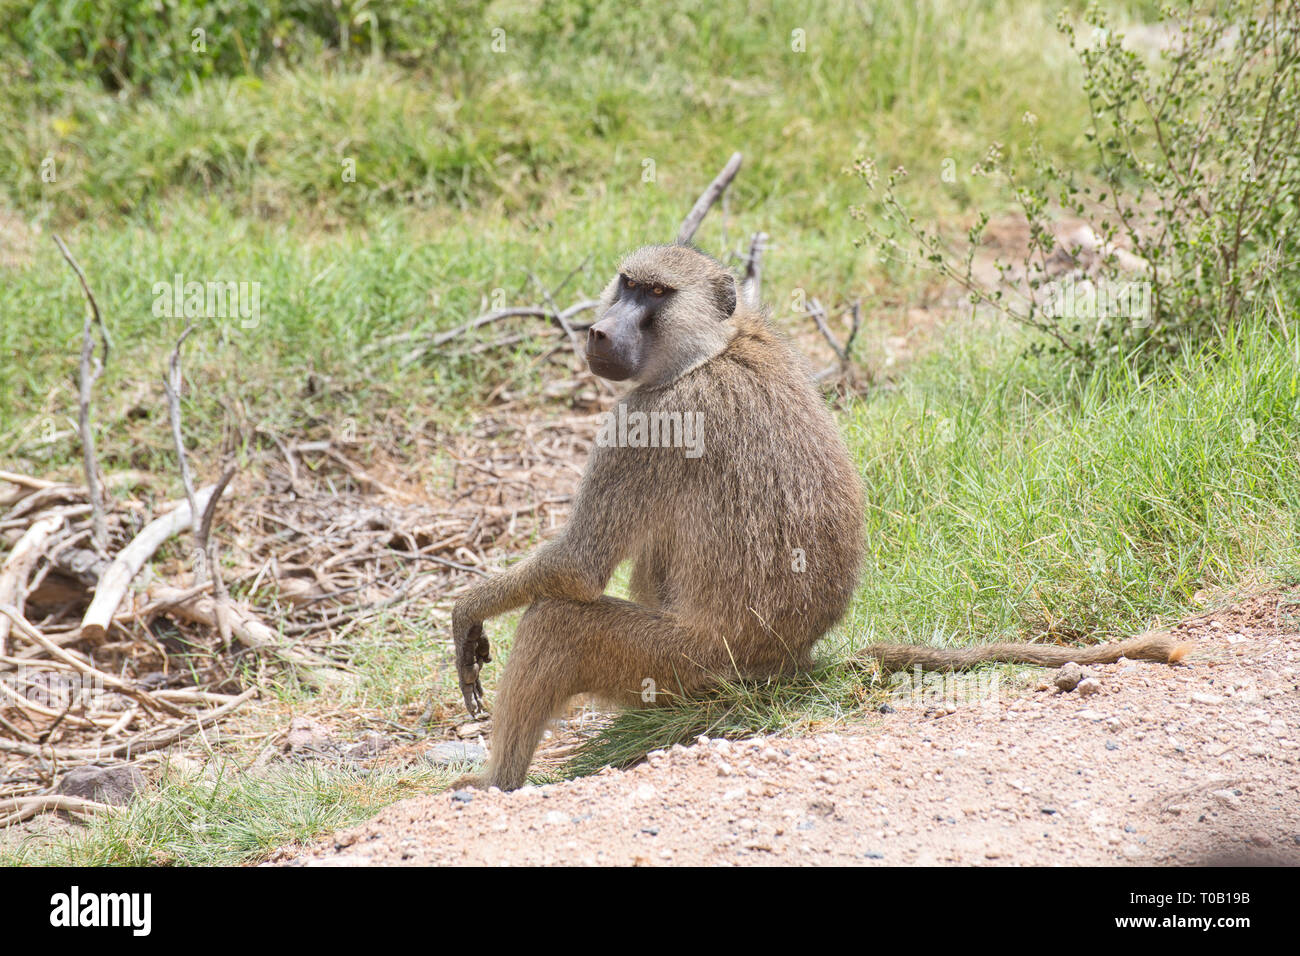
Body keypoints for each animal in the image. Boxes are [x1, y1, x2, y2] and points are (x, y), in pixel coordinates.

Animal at [450, 243, 867, 791]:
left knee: (556, 624)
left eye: (657, 293)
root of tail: (788, 666)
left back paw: (496, 785)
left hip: (682, 667)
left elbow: (577, 567)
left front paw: (467, 608)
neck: (711, 351)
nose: (599, 332)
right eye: (628, 284)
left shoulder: (643, 421)